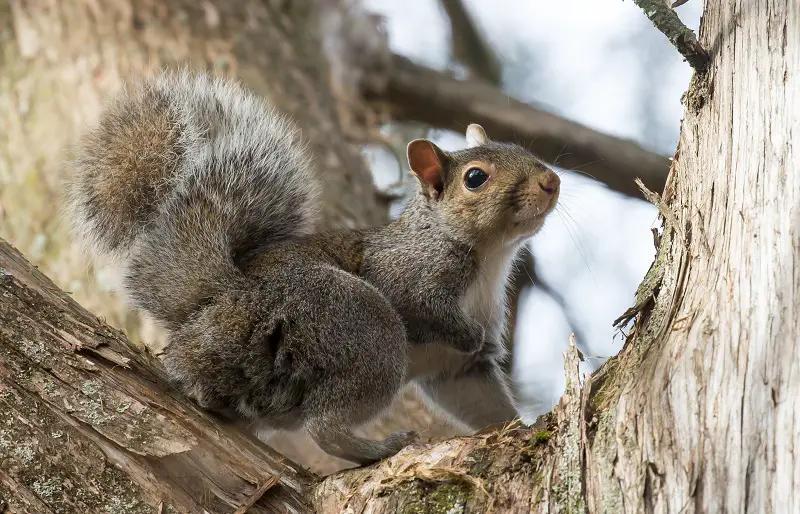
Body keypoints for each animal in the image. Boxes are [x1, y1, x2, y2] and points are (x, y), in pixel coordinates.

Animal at [68, 71, 560, 464]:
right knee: (324, 428)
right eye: (476, 178)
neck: (490, 259)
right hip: (361, 324)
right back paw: (380, 447)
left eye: (518, 146)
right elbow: (423, 305)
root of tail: (219, 304)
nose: (551, 180)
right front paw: (466, 332)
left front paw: (523, 427)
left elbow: (482, 402)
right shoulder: (407, 272)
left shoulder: (461, 370)